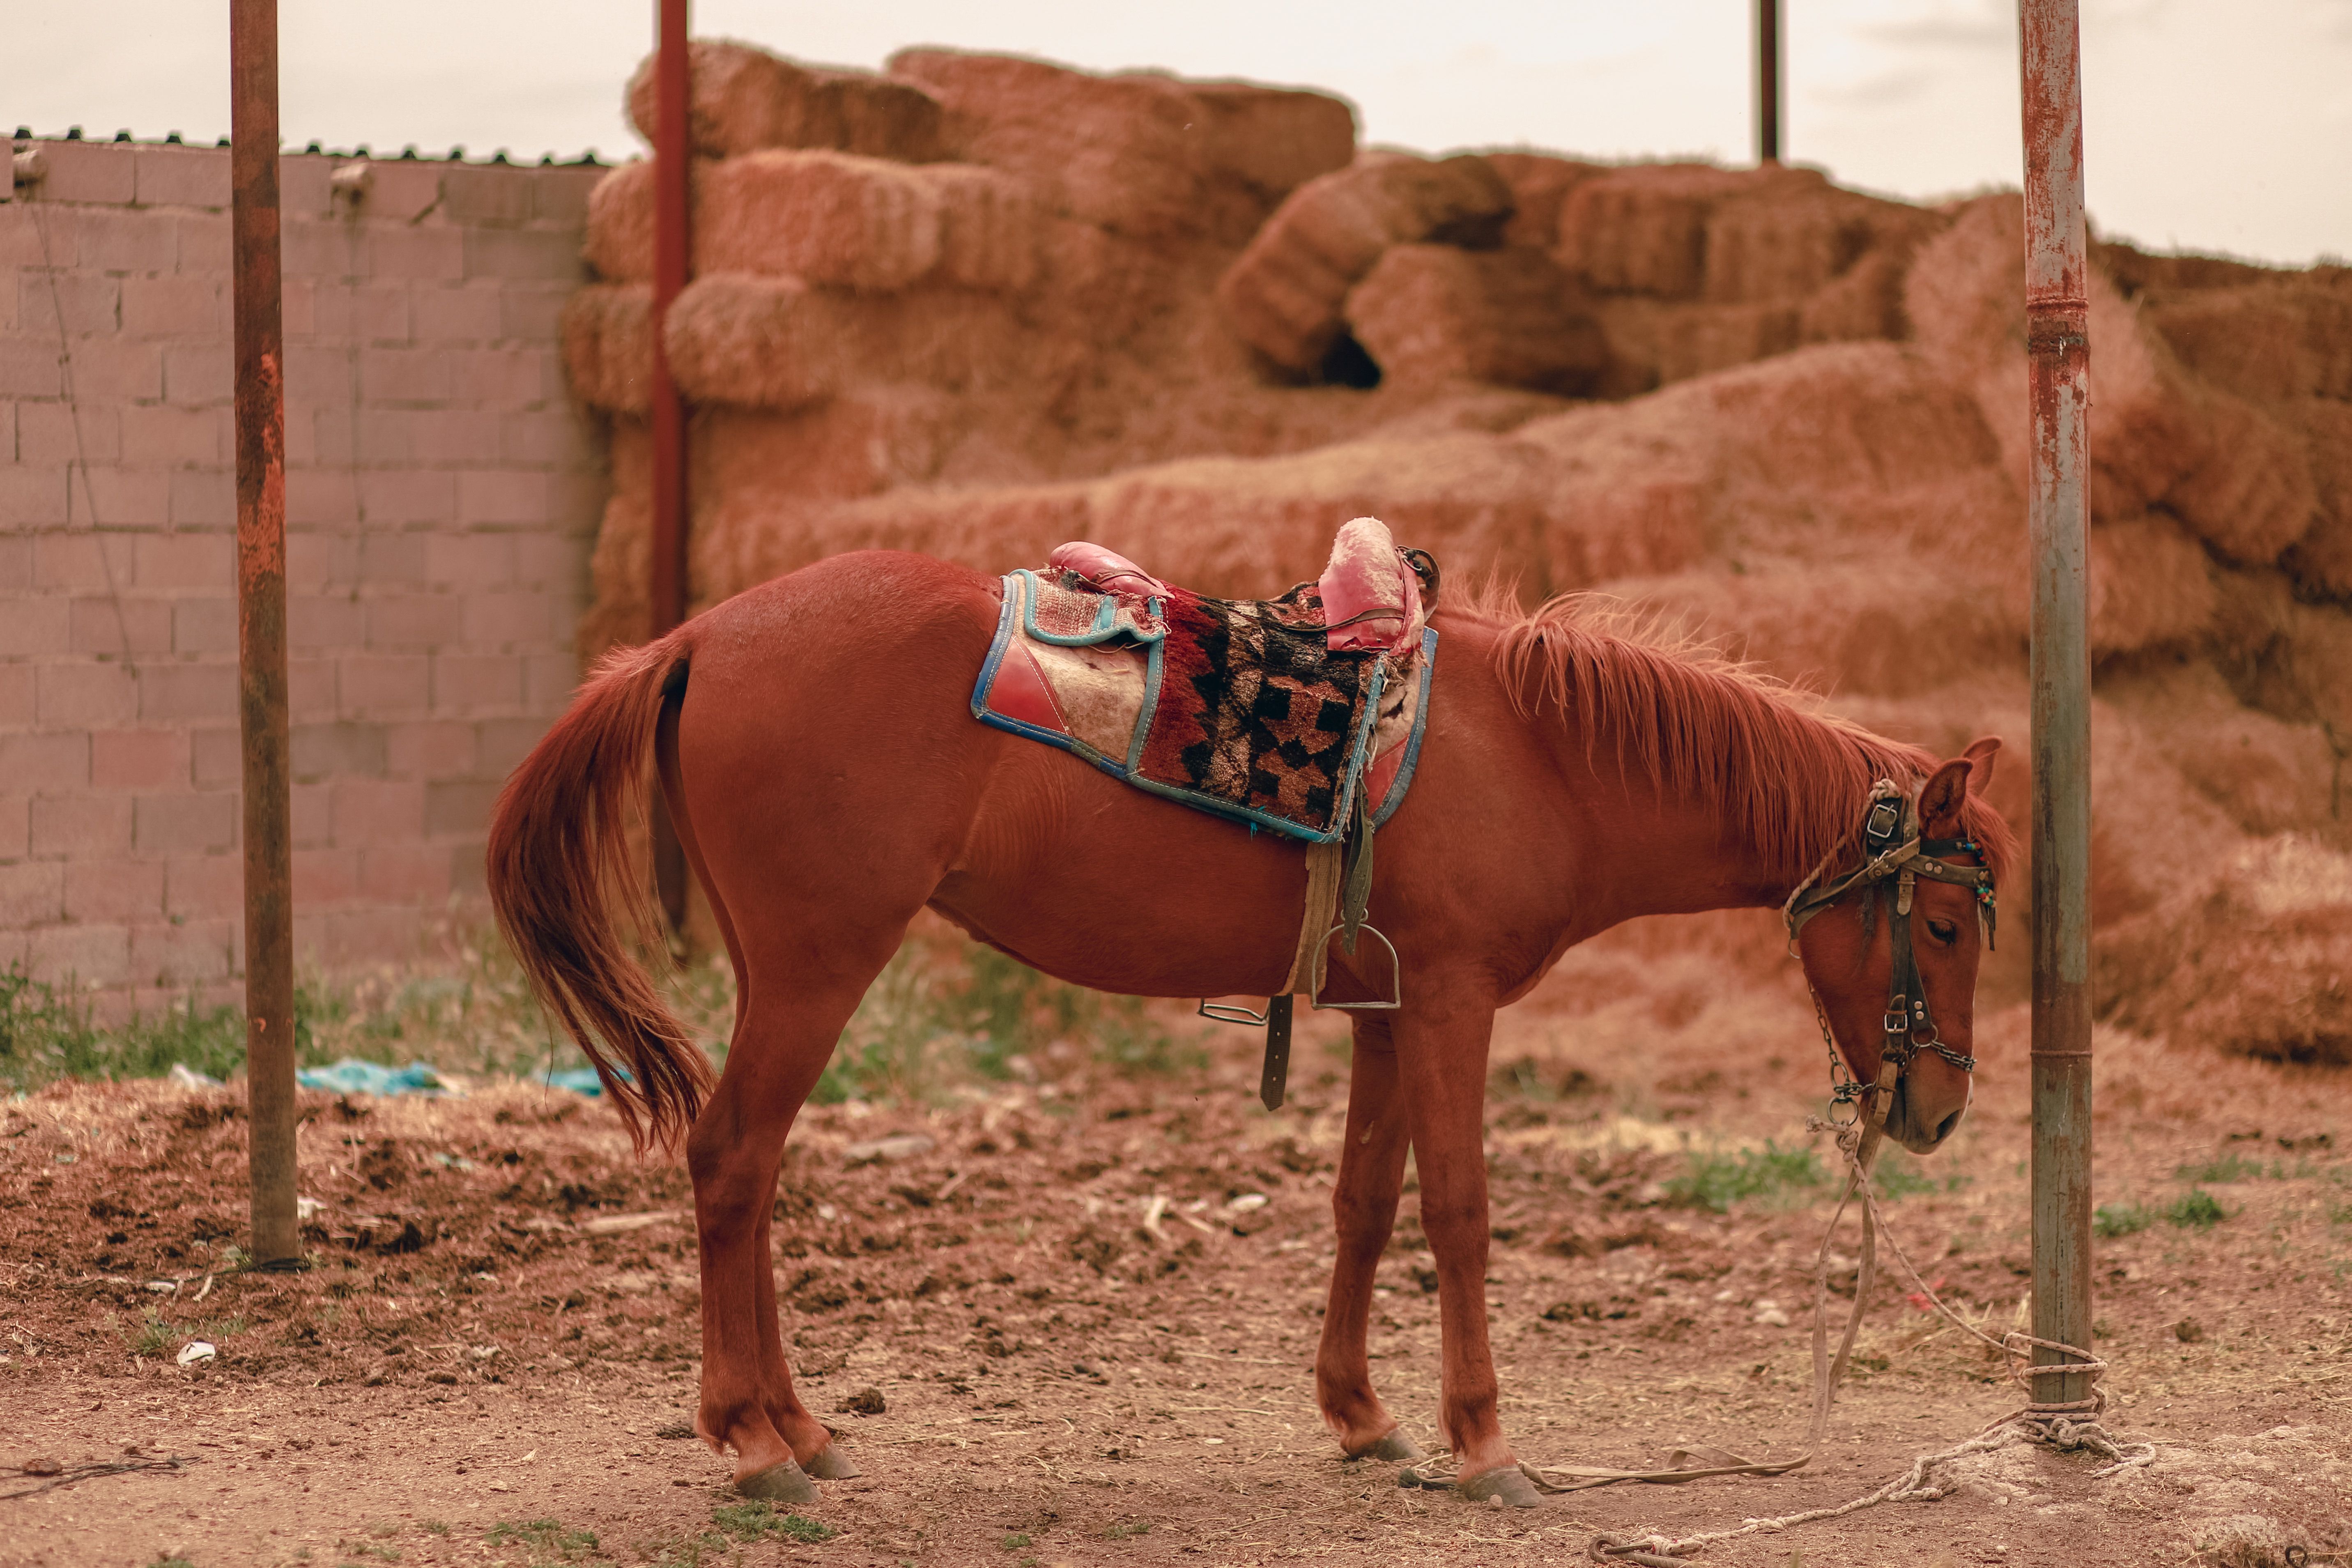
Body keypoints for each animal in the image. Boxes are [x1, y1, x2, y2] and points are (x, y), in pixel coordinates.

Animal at [486, 547, 2014, 1506]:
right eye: (1943, 926)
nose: (1937, 1110)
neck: (1536, 752)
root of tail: (699, 635)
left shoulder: (1389, 1008)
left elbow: (1363, 1204)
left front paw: (1364, 1418)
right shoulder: (1451, 999)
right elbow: (1459, 1210)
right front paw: (1484, 1443)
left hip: (781, 965)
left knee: (751, 1177)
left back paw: (800, 1431)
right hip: (819, 962)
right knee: (733, 1159)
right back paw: (750, 1442)